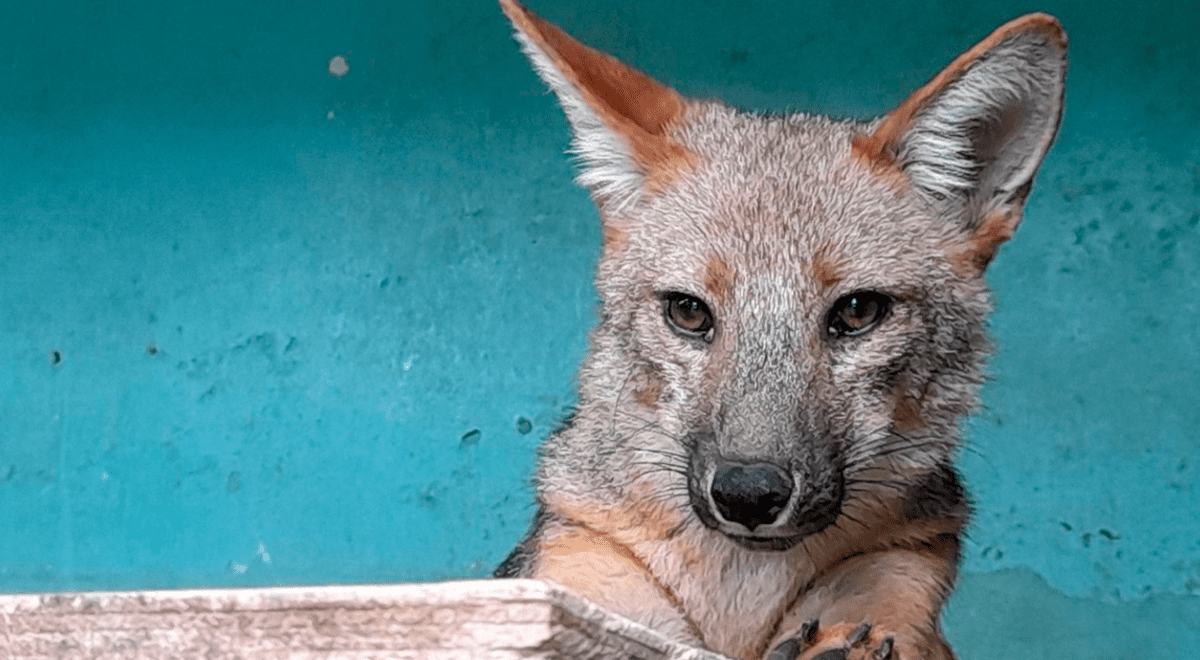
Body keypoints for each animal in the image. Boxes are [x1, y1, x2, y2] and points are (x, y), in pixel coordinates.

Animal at [492, 2, 1067, 659]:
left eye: (857, 311)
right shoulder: (578, 576)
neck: (738, 612)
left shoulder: (904, 561)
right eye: (688, 312)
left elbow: (874, 609)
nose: (748, 492)